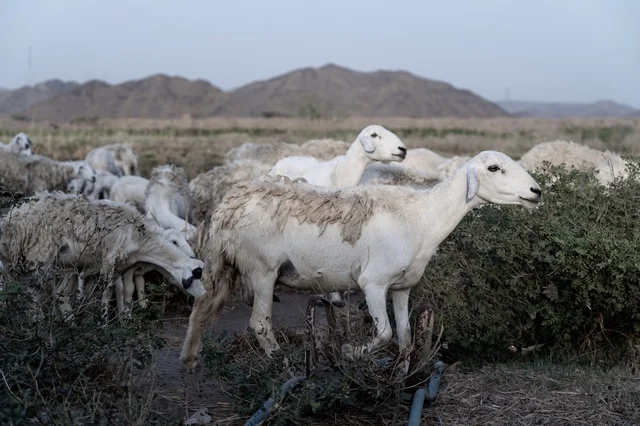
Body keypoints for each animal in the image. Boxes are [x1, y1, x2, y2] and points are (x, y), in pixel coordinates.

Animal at [0, 192, 206, 320]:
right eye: (197, 273)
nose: (204, 295)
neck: (142, 239)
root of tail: (12, 217)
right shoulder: (109, 258)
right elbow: (106, 293)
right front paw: (104, 322)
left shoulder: (124, 265)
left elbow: (126, 290)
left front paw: (125, 318)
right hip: (40, 255)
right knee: (34, 292)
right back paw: (39, 323)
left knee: (48, 292)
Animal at [179, 150, 543, 372]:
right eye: (494, 168)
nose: (536, 192)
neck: (423, 217)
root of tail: (226, 207)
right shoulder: (373, 283)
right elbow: (384, 333)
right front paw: (351, 354)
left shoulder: (401, 287)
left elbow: (405, 338)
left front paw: (401, 375)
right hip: (262, 269)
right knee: (260, 324)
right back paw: (284, 364)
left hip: (225, 267)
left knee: (201, 307)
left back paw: (190, 359)